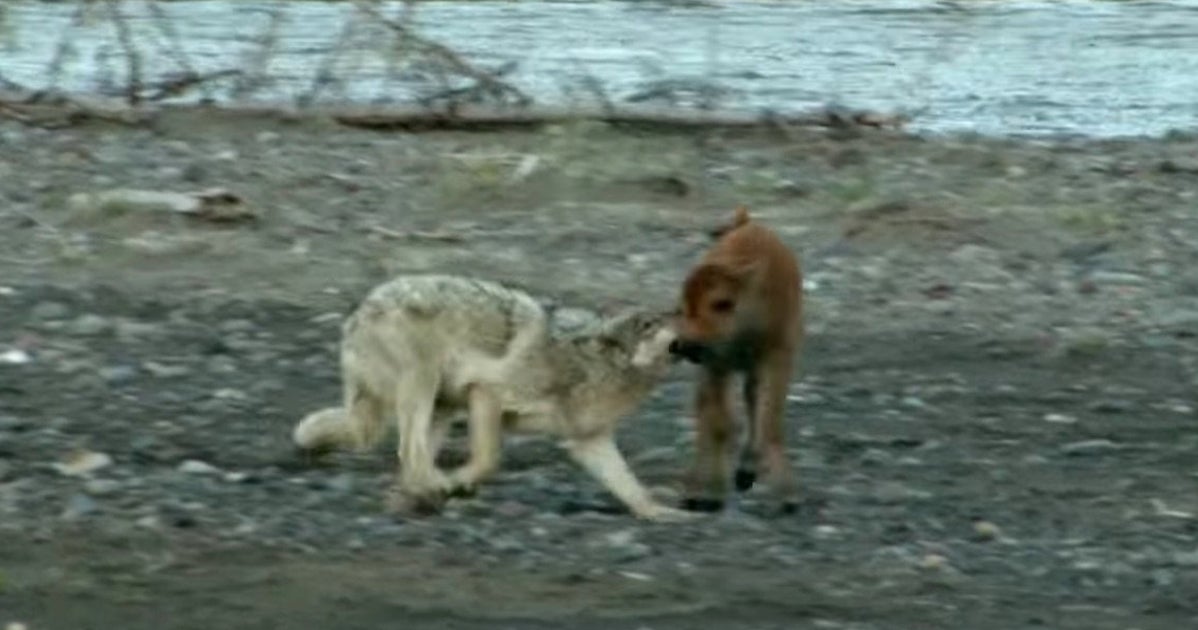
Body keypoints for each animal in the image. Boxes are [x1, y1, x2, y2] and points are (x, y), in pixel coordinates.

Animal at [292, 274, 694, 523]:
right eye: (658, 325)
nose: (687, 321)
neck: (596, 364)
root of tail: (359, 311)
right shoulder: (486, 393)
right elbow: (489, 460)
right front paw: (459, 481)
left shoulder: (590, 440)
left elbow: (630, 486)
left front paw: (657, 512)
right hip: (424, 385)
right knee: (410, 452)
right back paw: (437, 487)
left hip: (436, 406)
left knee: (402, 457)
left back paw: (414, 496)